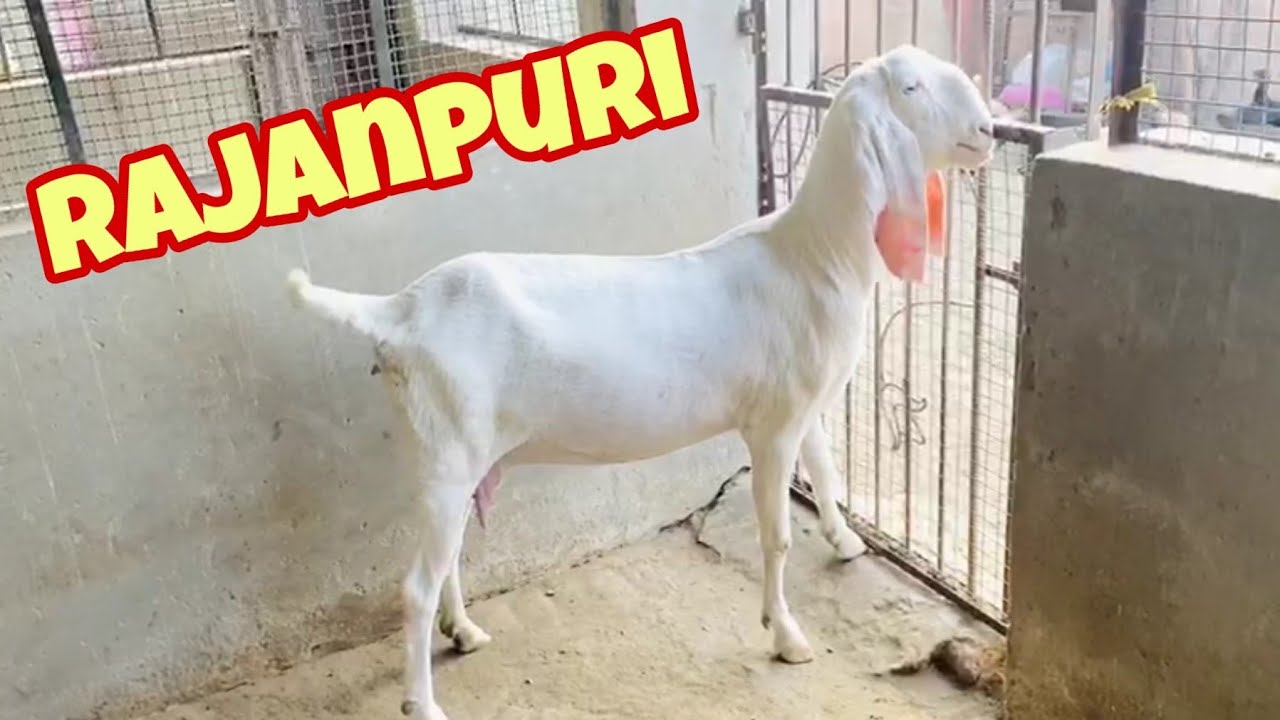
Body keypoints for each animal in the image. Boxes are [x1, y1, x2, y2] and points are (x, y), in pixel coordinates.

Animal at [286, 44, 995, 720]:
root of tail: (397, 311)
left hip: (456, 455)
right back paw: (424, 702)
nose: (987, 130)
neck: (815, 254)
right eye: (910, 86)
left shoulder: (807, 405)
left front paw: (846, 543)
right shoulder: (772, 425)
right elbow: (776, 536)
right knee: (414, 586)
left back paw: (463, 631)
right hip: (446, 447)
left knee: (448, 558)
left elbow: (826, 474)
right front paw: (786, 635)